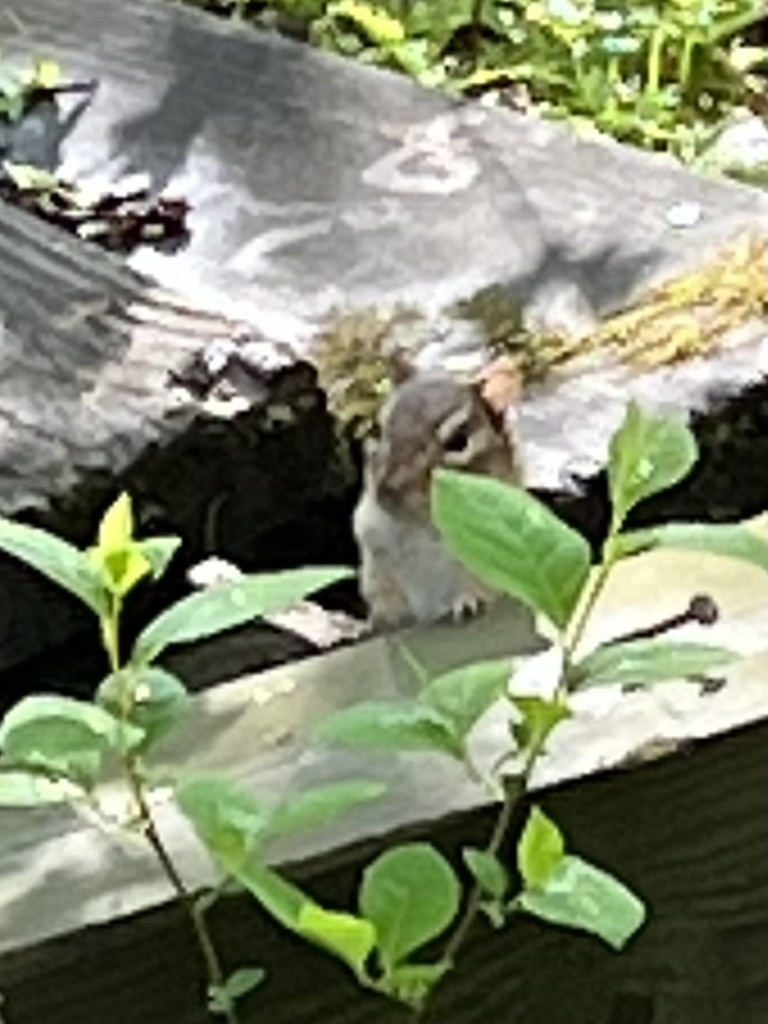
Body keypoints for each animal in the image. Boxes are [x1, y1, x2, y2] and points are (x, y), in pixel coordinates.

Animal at [353, 353, 524, 630]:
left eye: (458, 441)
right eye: (377, 430)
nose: (387, 492)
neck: (424, 527)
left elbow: (477, 587)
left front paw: (467, 602)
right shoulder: (377, 561)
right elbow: (386, 597)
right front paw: (375, 621)